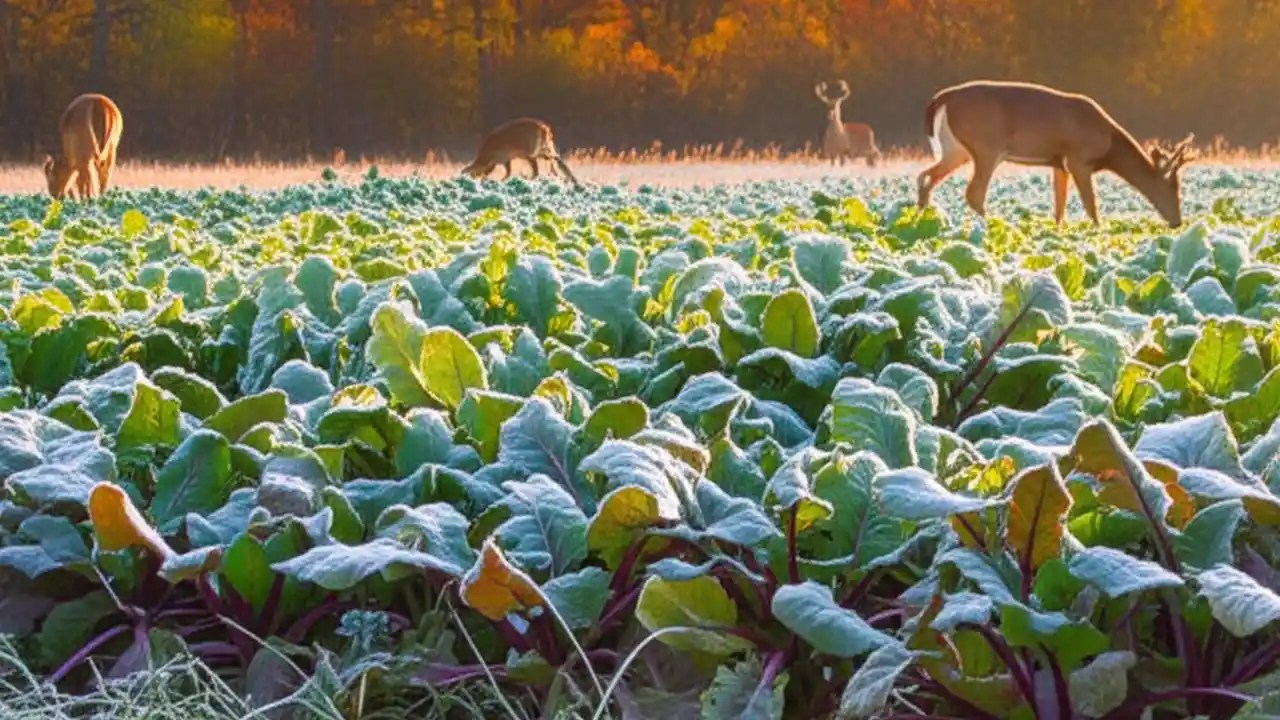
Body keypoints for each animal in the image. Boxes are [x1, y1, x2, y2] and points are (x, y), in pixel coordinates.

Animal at [916, 80, 1197, 228]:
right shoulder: (1078, 159)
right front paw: (1097, 231)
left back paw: (920, 218)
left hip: (956, 149)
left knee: (925, 177)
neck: (1108, 146)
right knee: (973, 192)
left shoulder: (1058, 163)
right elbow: (1090, 204)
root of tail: (941, 99)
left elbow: (1059, 206)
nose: (1177, 222)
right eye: (1172, 188)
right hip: (986, 146)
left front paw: (1057, 233)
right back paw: (995, 226)